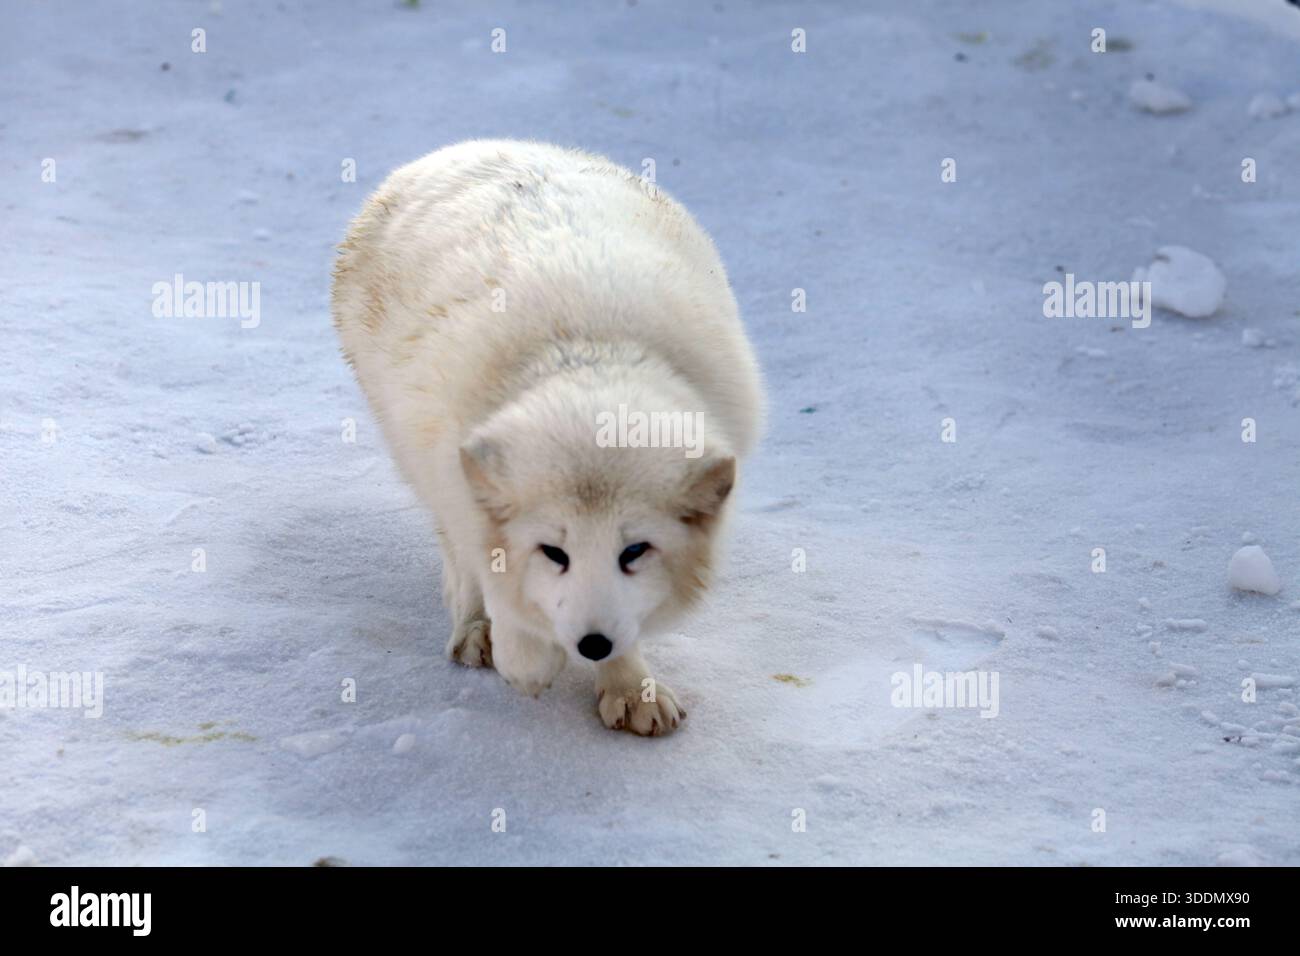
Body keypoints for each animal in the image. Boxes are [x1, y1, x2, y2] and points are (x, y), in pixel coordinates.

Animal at [331, 140, 764, 735]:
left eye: (634, 551)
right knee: (458, 558)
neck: (589, 352)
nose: (593, 643)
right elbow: (496, 581)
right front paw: (526, 659)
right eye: (553, 552)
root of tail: (467, 147)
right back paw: (477, 632)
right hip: (417, 454)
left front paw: (630, 686)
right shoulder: (459, 480)